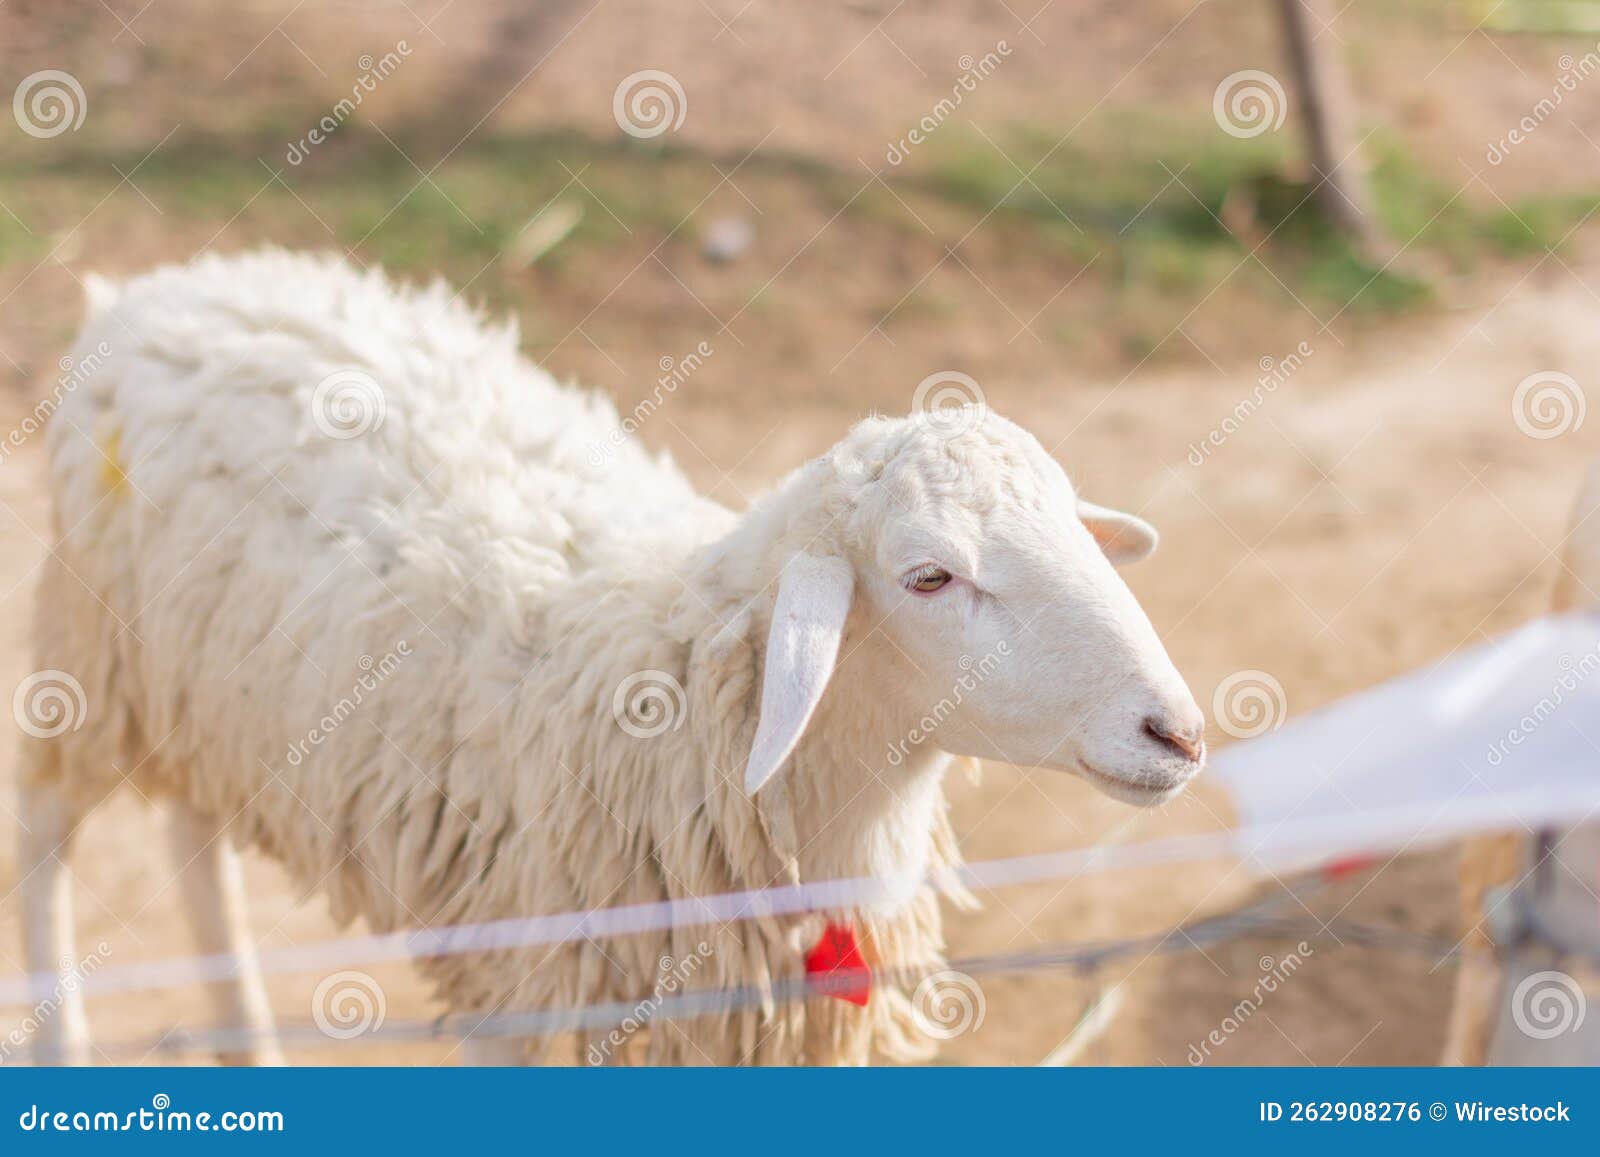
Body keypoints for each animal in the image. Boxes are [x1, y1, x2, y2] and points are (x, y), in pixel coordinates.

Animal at [17, 250, 1206, 1066]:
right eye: (929, 576)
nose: (1179, 732)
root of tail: (161, 285)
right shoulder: (523, 980)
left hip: (207, 693)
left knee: (193, 832)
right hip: (89, 655)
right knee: (42, 835)